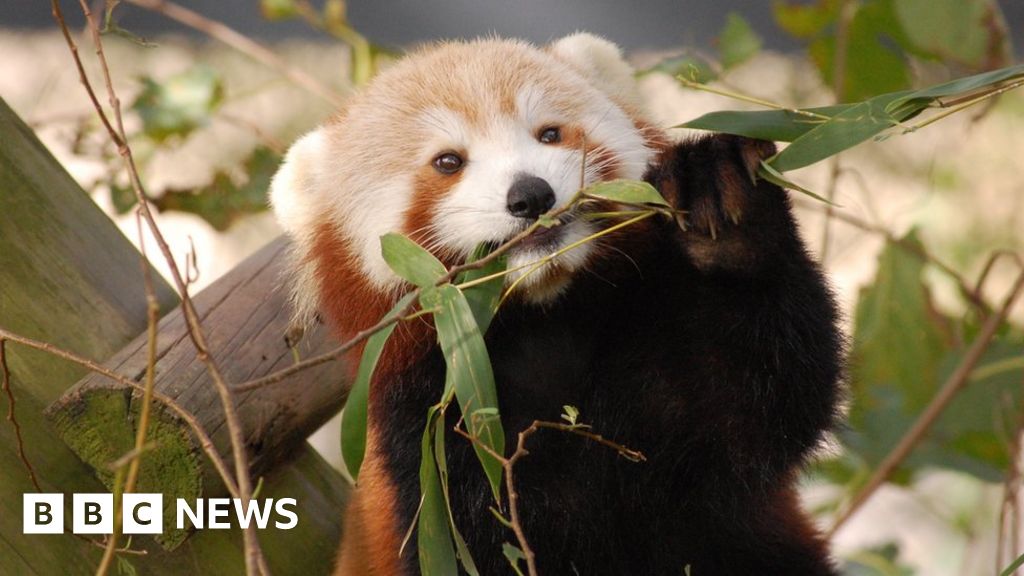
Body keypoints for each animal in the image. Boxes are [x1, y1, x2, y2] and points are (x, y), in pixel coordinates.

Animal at [271, 33, 844, 576]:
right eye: (448, 162)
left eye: (549, 133)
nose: (531, 195)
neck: (542, 324)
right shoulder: (431, 452)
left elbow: (761, 400)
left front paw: (718, 200)